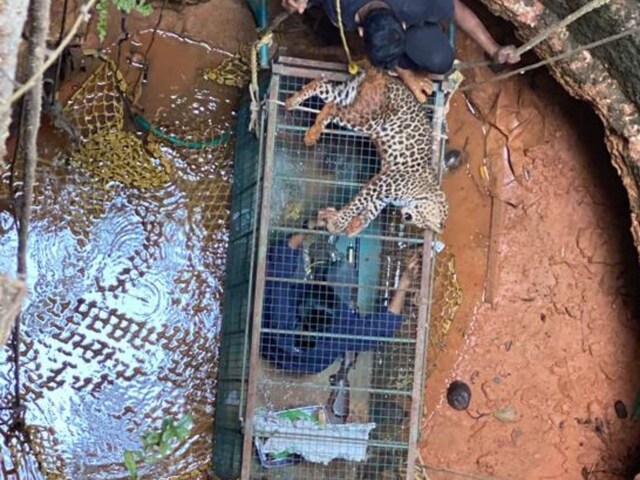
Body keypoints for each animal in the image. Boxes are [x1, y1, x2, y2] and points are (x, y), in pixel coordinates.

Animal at [285, 65, 448, 237]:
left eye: (421, 224)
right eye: (423, 219)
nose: (406, 217)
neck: (428, 191)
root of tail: (384, 75)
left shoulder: (383, 191)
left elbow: (373, 208)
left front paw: (356, 224)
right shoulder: (384, 182)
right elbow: (358, 204)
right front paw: (338, 224)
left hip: (352, 98)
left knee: (323, 88)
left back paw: (293, 103)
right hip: (369, 119)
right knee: (333, 107)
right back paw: (311, 133)